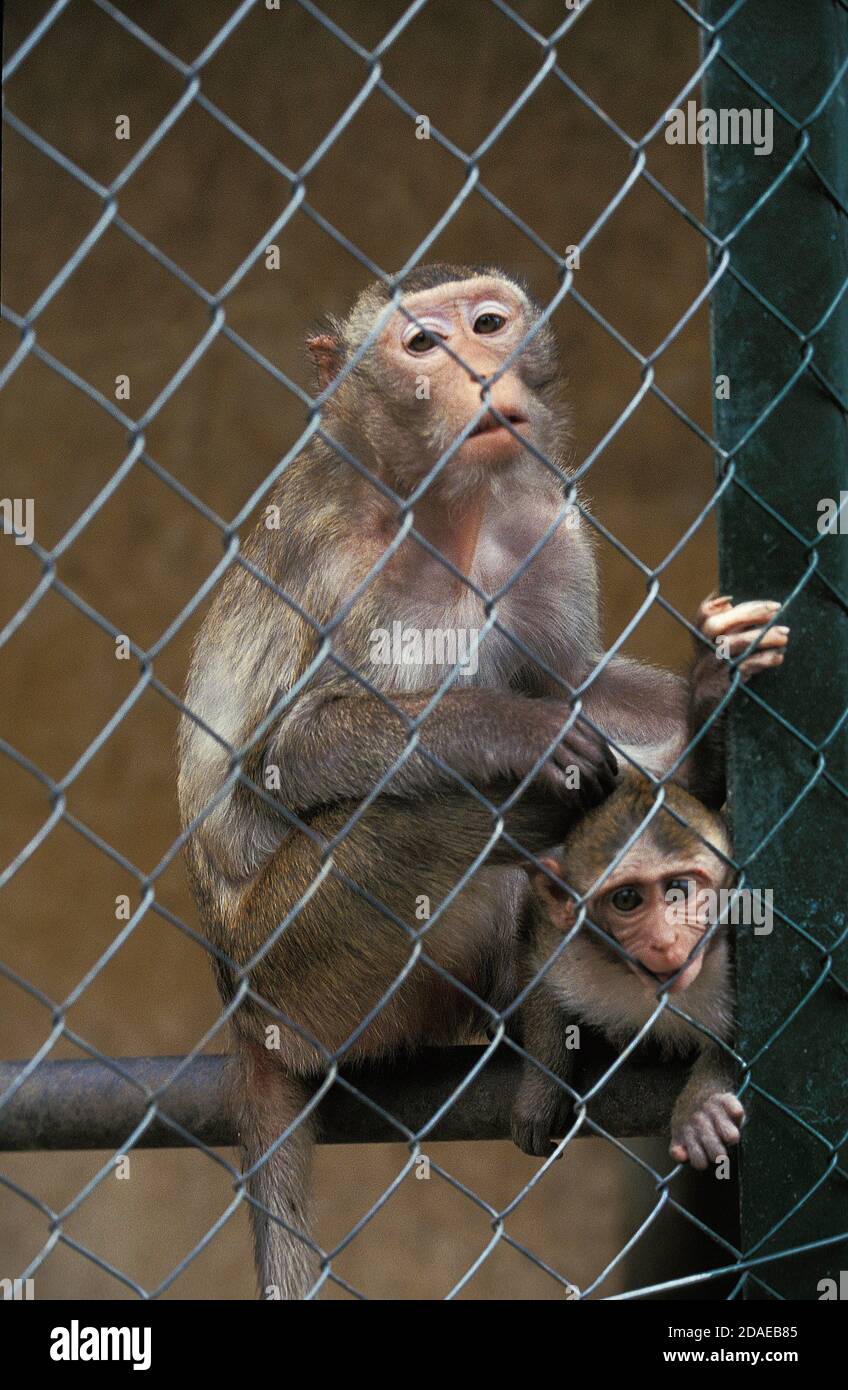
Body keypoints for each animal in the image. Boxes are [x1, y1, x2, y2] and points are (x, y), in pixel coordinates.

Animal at [176, 264, 788, 1296]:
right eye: (421, 344)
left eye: (490, 324)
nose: (474, 370)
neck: (447, 513)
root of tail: (237, 1007)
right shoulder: (338, 562)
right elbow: (285, 752)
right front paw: (529, 733)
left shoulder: (545, 527)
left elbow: (581, 682)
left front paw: (710, 694)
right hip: (297, 966)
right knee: (443, 820)